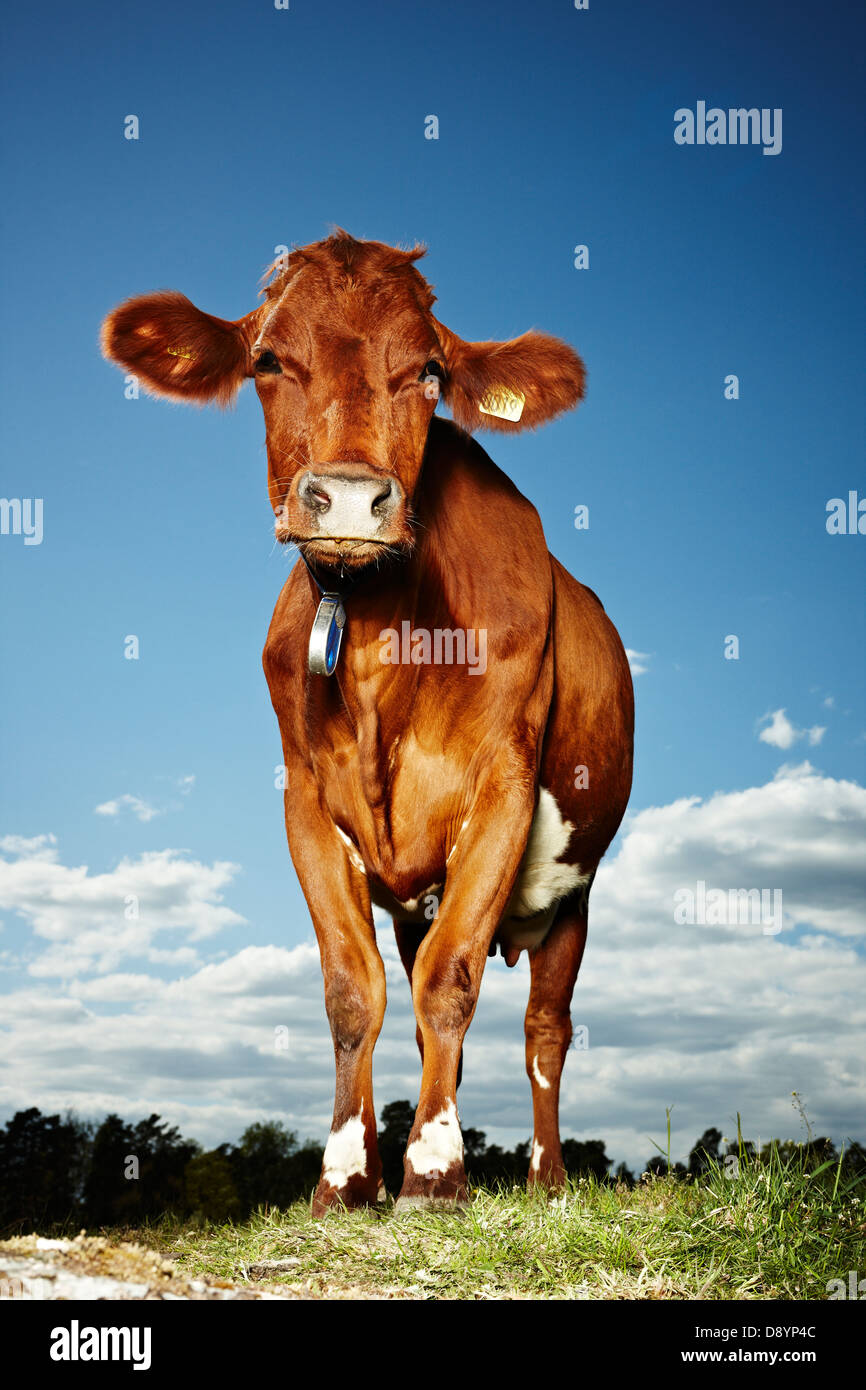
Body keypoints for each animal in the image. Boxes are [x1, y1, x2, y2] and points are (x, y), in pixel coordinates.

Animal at [102, 231, 634, 1214]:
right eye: (268, 361)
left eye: (428, 371)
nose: (349, 499)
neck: (388, 642)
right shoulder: (307, 803)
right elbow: (357, 991)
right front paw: (350, 1175)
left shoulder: (505, 790)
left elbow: (452, 978)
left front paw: (435, 1170)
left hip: (570, 894)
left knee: (545, 1028)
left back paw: (545, 1177)